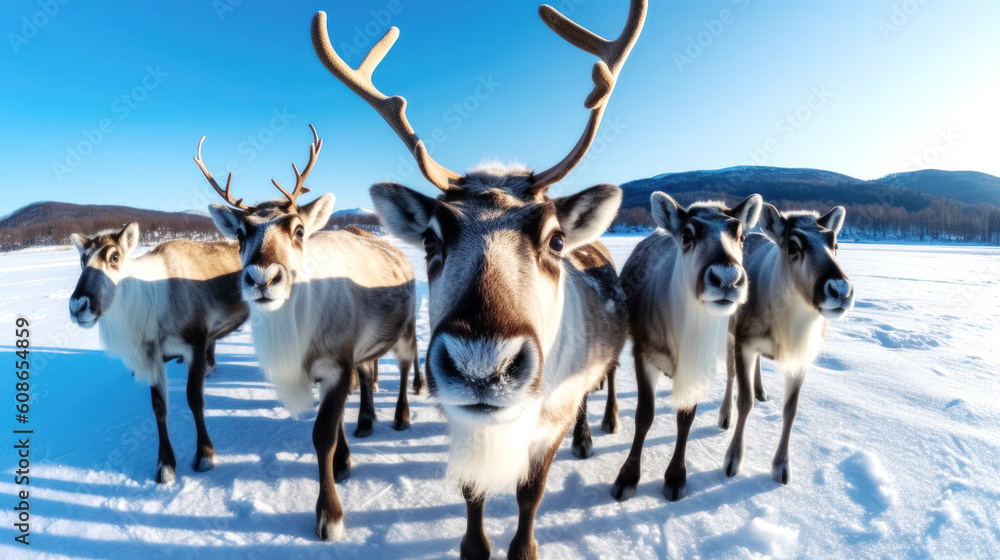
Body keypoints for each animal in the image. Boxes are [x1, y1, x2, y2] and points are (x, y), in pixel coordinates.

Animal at [68, 224, 249, 483]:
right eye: (82, 260)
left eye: (115, 256)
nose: (78, 306)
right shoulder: (153, 357)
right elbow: (158, 407)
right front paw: (165, 465)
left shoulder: (194, 343)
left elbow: (194, 399)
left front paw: (205, 454)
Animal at [196, 125, 420, 541]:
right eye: (240, 234)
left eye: (299, 229)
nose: (261, 278)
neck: (300, 333)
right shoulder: (334, 366)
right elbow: (336, 423)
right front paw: (345, 462)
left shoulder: (337, 363)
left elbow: (322, 435)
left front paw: (329, 515)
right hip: (366, 348)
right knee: (368, 372)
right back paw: (366, 421)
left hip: (407, 328)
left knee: (402, 367)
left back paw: (401, 416)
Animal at [311, 0, 645, 556]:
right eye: (430, 240)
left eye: (555, 240)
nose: (483, 366)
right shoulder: (461, 417)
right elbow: (472, 493)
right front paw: (474, 545)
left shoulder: (550, 417)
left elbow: (531, 493)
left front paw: (523, 547)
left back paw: (592, 433)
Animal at [607, 192, 762, 501]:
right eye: (687, 235)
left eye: (741, 236)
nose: (727, 278)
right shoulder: (643, 351)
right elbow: (644, 415)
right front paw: (627, 476)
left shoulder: (696, 365)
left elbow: (686, 418)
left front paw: (676, 476)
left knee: (731, 374)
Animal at [718, 204, 854, 485]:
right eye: (793, 245)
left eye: (835, 243)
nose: (840, 290)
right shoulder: (743, 342)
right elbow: (744, 401)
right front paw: (732, 459)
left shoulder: (801, 357)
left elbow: (791, 410)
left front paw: (781, 466)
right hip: (728, 331)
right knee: (730, 374)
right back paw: (725, 415)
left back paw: (761, 390)